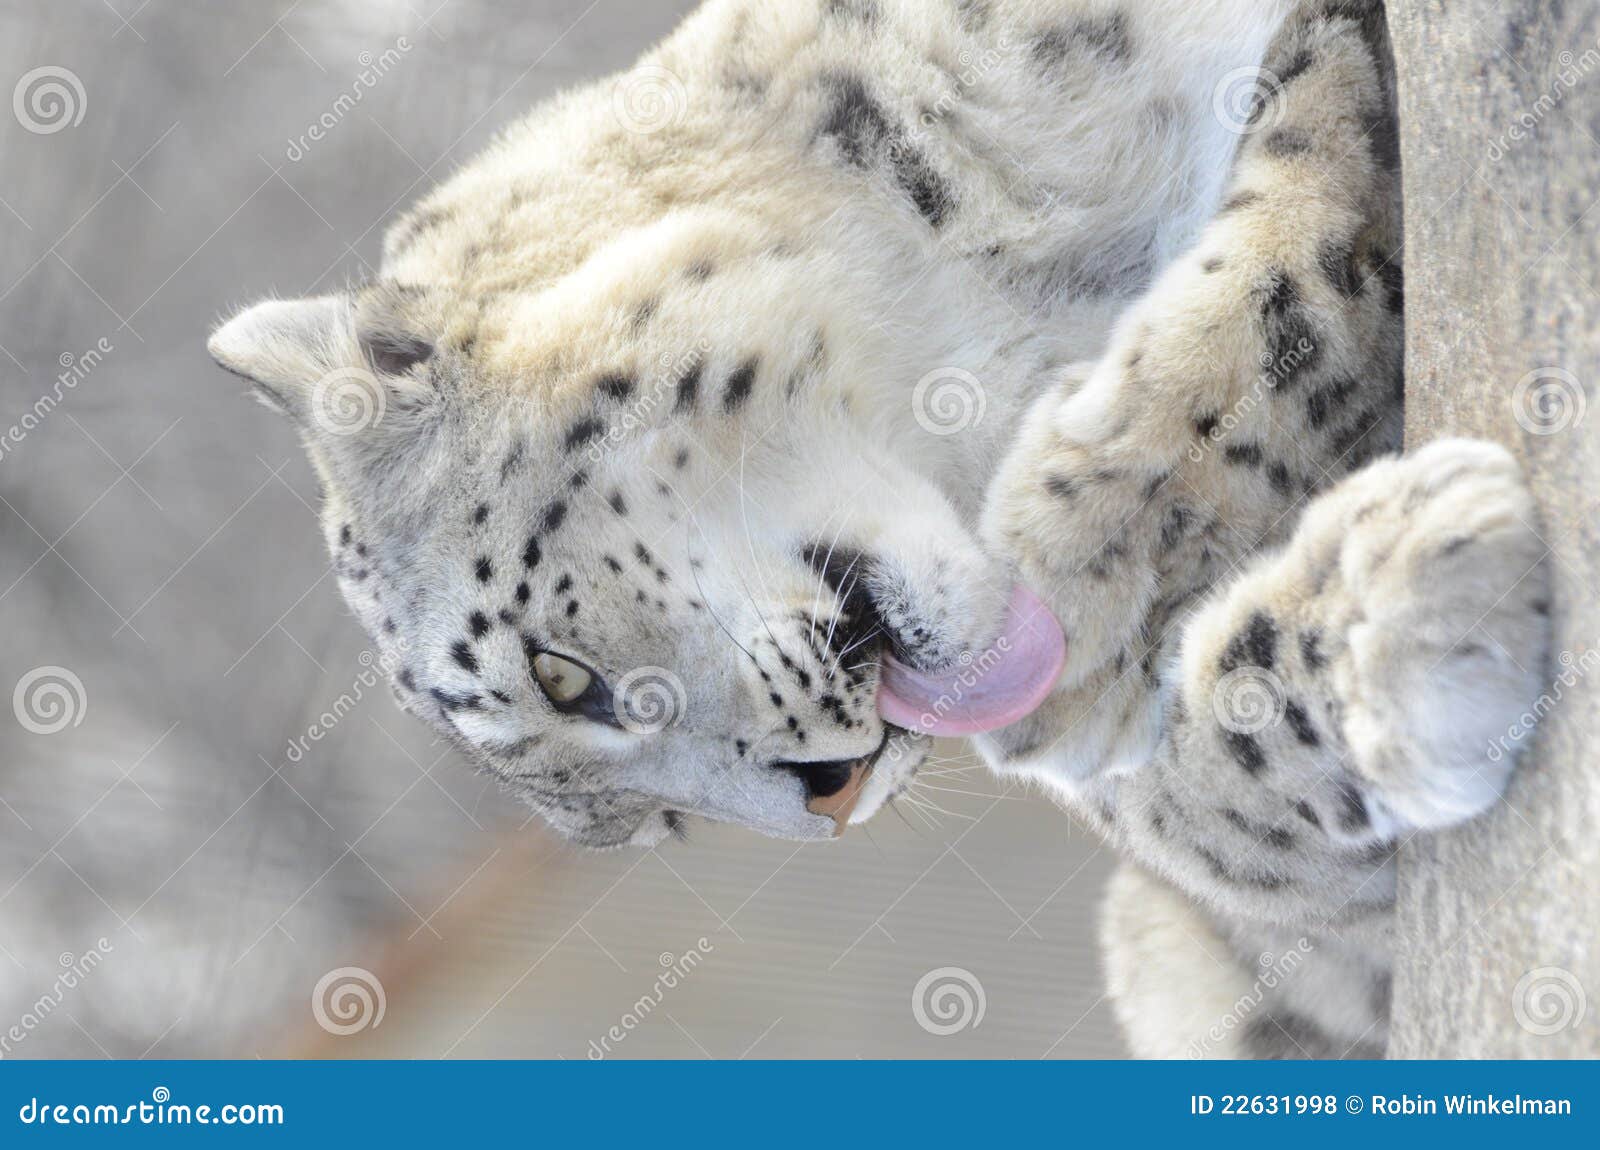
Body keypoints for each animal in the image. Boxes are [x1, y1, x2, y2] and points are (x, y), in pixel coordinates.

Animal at [207, 0, 1551, 1058]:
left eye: (558, 671)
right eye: (657, 827)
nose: (829, 793)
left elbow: (1304, 202)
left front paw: (1093, 523)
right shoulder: (1247, 891)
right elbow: (1227, 790)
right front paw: (1416, 607)